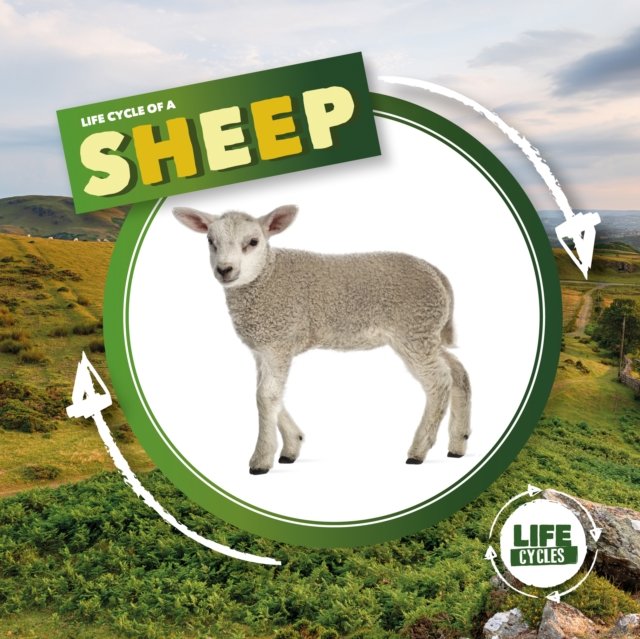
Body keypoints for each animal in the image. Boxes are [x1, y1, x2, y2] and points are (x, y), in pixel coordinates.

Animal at [173, 204, 471, 475]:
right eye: (211, 241)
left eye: (253, 242)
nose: (224, 269)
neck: (267, 277)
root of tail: (436, 273)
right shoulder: (265, 345)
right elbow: (268, 394)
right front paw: (292, 445)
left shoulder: (279, 338)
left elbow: (265, 397)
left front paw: (261, 460)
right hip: (427, 332)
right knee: (457, 371)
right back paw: (458, 442)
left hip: (413, 329)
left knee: (439, 381)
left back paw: (419, 450)